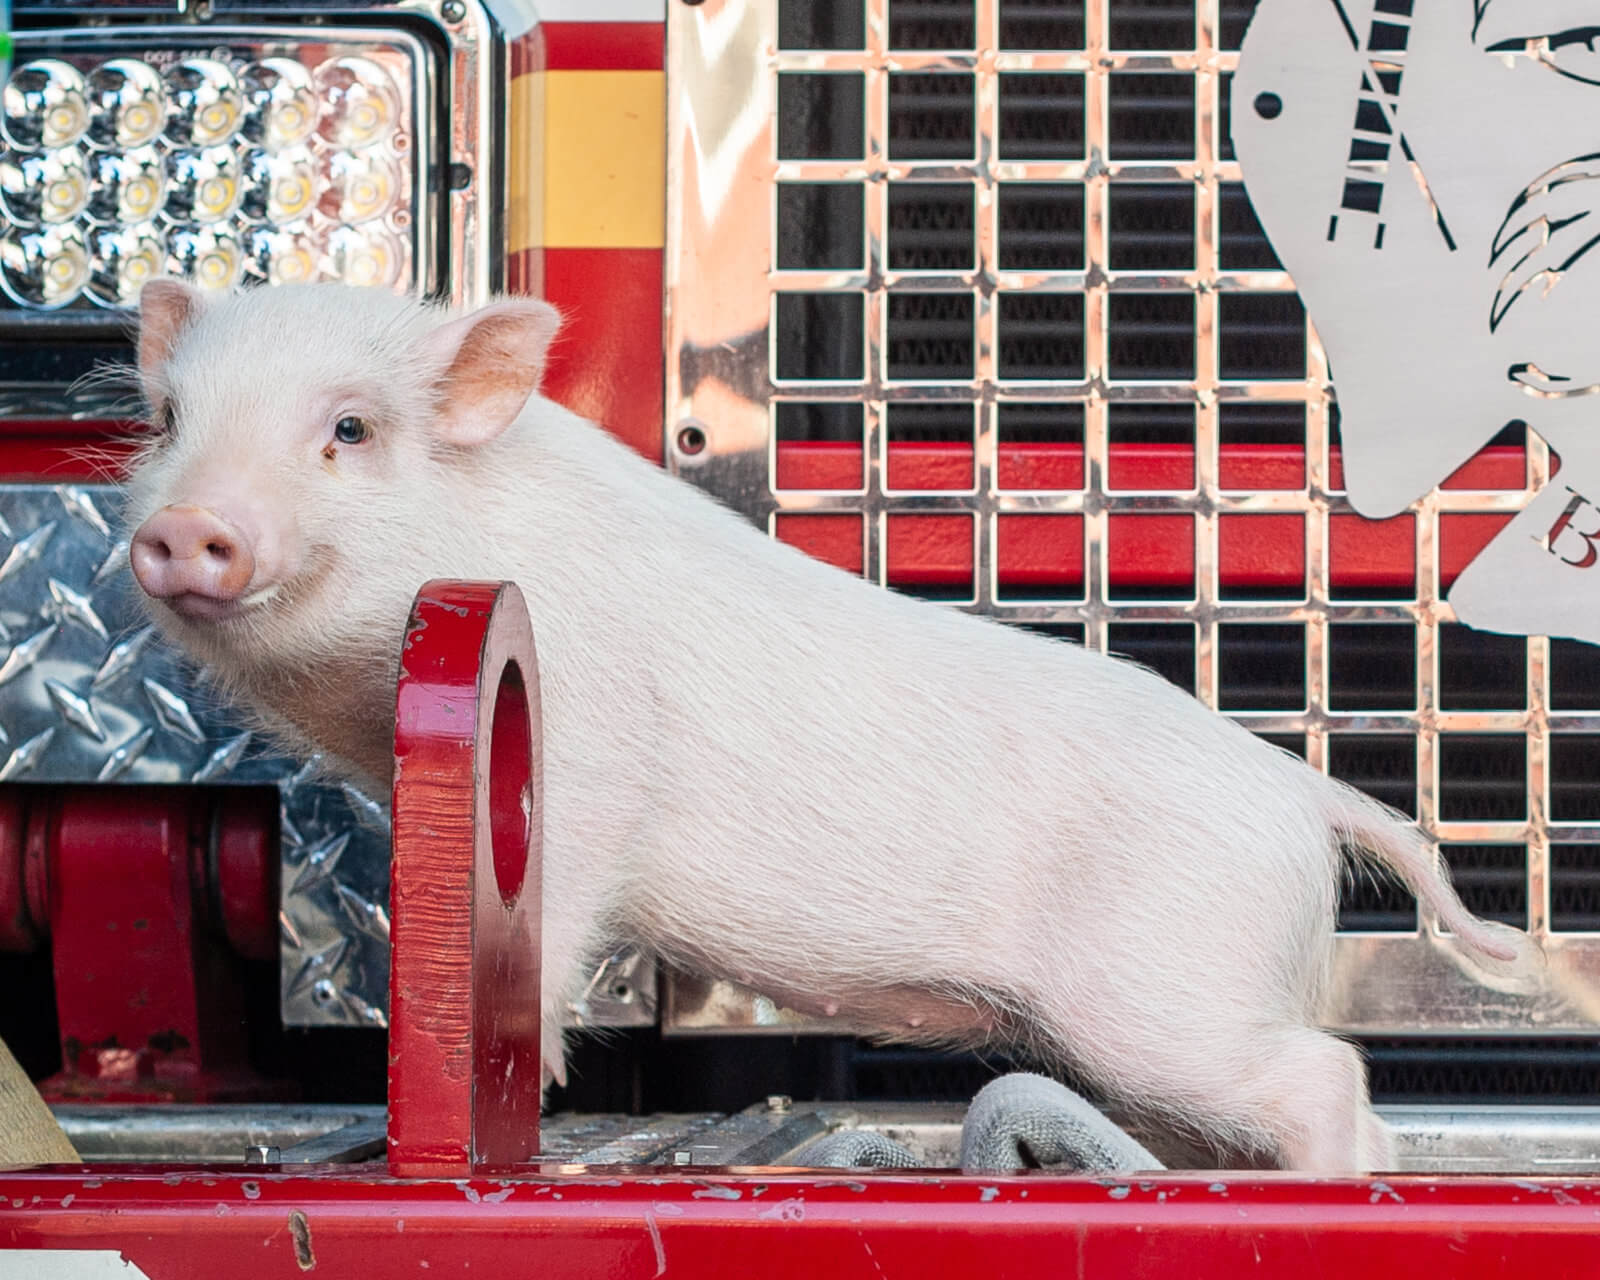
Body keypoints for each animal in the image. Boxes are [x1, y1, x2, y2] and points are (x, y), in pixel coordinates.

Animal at [123, 279, 1540, 1173]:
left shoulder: (589, 762)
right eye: (171, 419)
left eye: (350, 428)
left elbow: (559, 903)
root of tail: (1305, 793)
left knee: (1327, 1076)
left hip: (1168, 989)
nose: (185, 526)